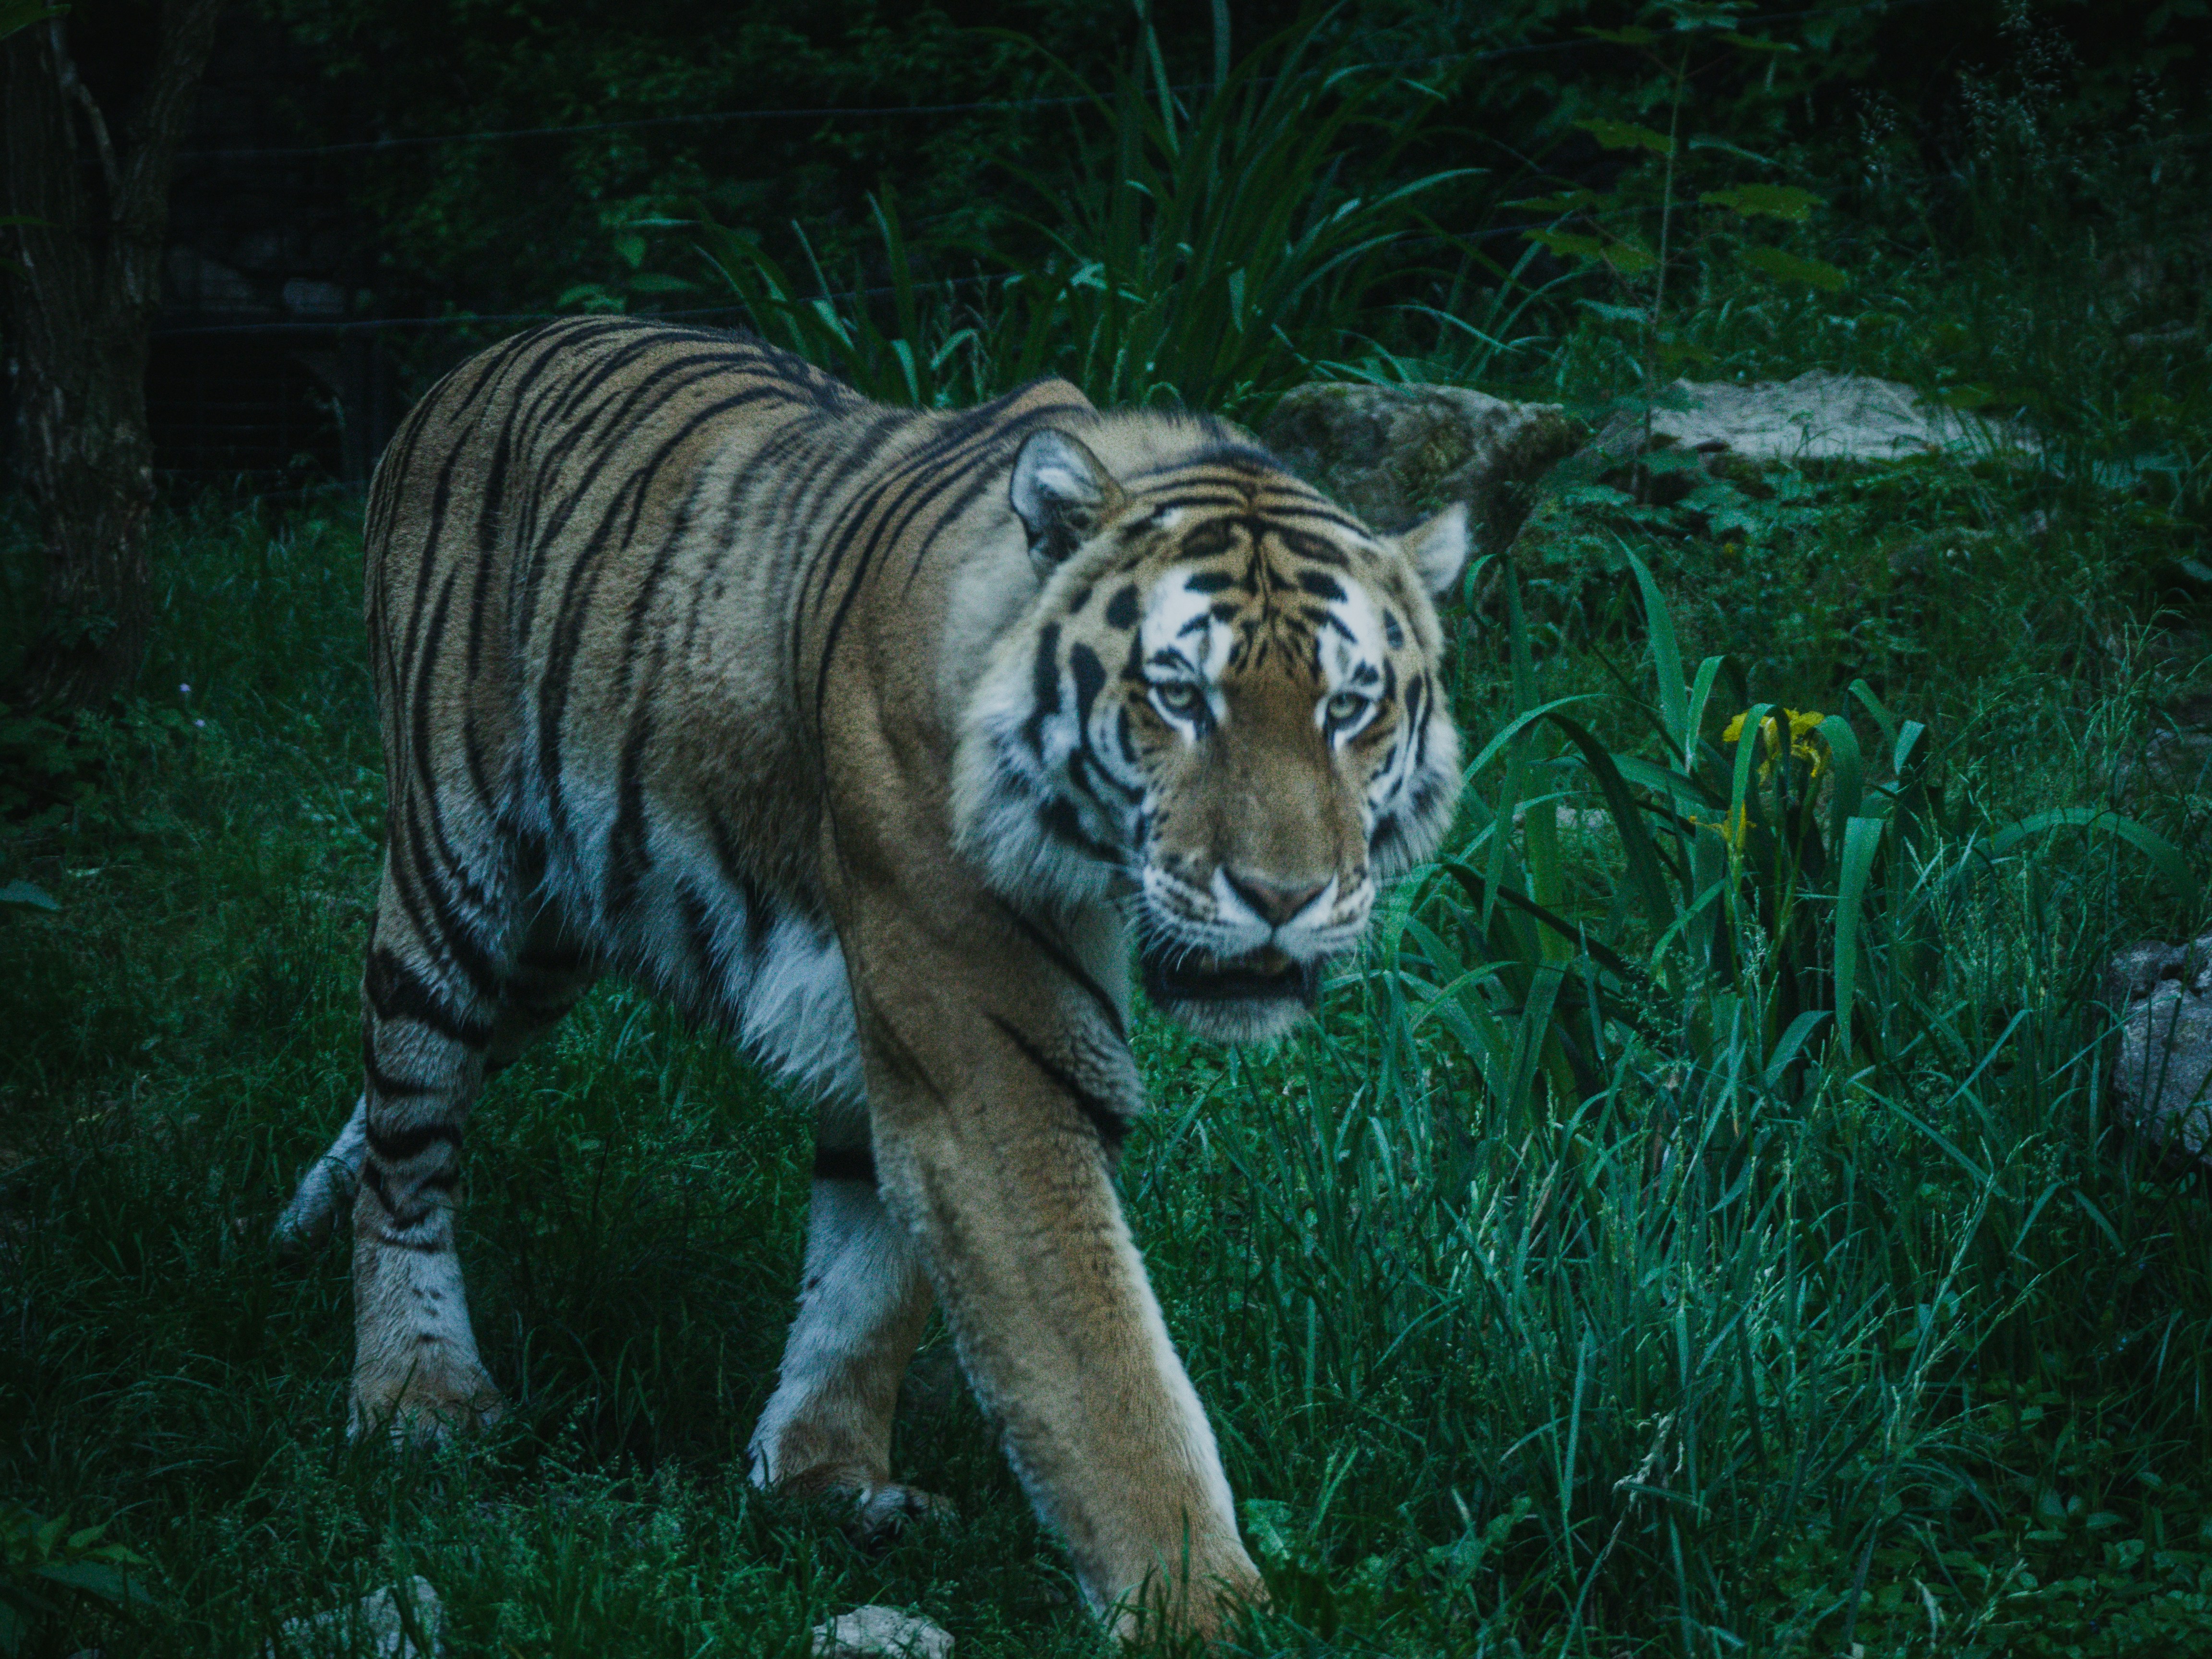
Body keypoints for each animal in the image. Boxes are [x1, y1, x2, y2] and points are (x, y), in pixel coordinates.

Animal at [272, 315, 1469, 1641]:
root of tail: (483, 353)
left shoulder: (904, 1043)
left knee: (397, 1103)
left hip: (553, 942)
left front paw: (820, 1479)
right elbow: (1106, 1382)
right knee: (412, 1132)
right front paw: (1206, 1615)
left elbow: (870, 1271)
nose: (1283, 896)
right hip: (457, 871)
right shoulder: (989, 1062)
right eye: (1177, 696)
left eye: (1350, 707)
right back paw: (418, 1397)